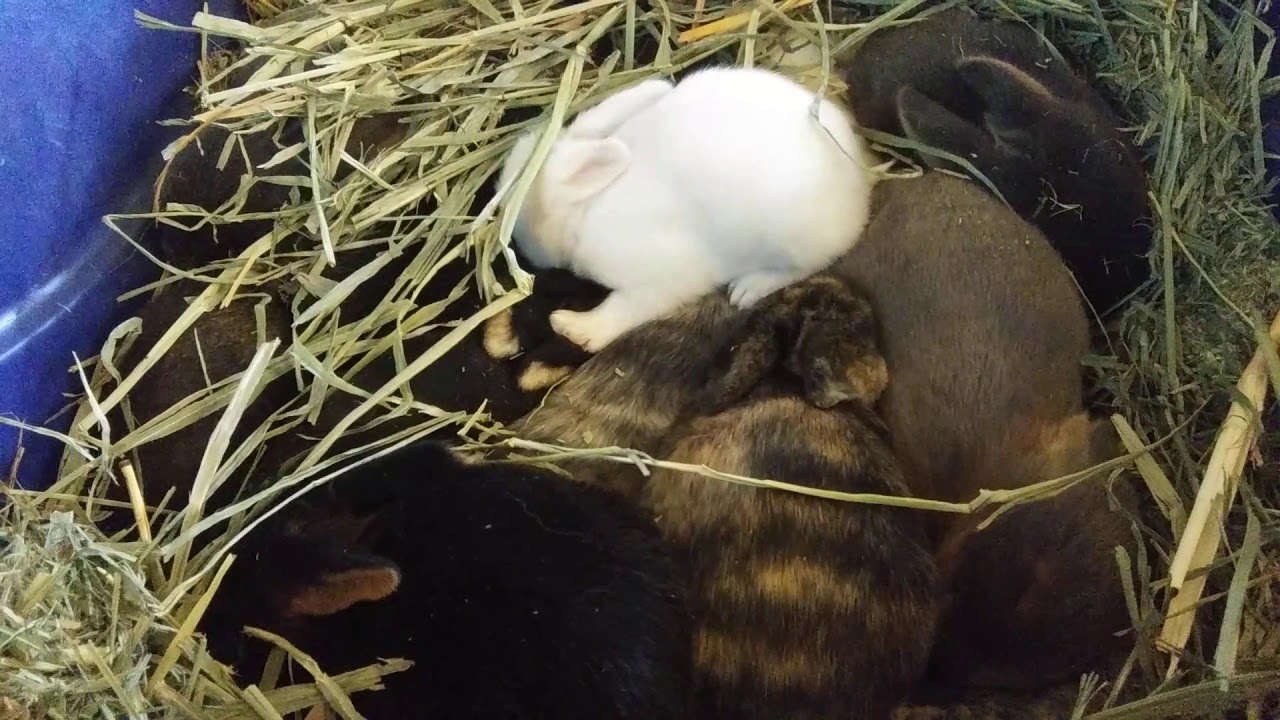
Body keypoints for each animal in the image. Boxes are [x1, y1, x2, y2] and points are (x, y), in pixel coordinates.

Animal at [495, 65, 875, 353]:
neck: (585, 210)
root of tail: (859, 184)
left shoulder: (659, 279)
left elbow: (623, 310)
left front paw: (571, 327)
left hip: (796, 241)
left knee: (806, 265)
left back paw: (747, 289)